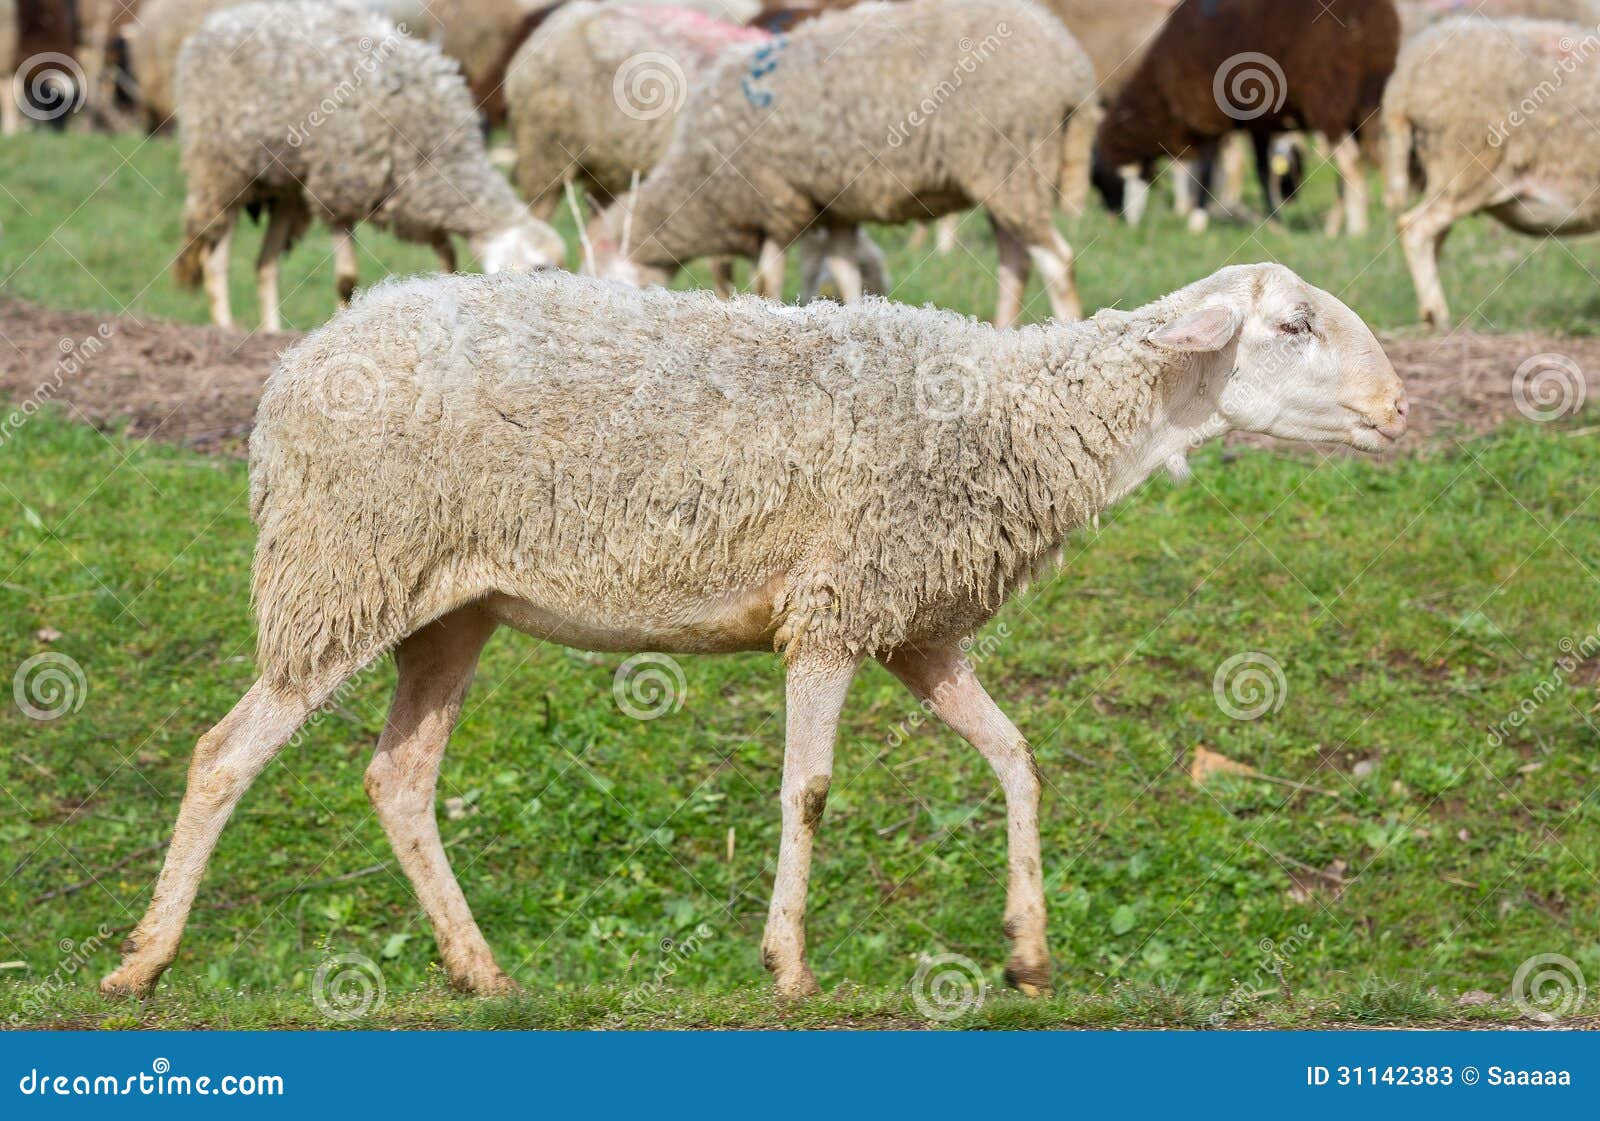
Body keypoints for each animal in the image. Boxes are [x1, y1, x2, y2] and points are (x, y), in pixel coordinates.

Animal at [98, 261, 1408, 1001]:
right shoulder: (831, 611)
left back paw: (481, 969)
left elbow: (1017, 756)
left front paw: (1029, 950)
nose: (1400, 410)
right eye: (1293, 325)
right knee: (224, 753)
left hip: (448, 604)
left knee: (400, 776)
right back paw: (144, 958)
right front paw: (787, 963)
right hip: (343, 572)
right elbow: (809, 790)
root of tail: (288, 377)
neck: (1024, 413)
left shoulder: (910, 622)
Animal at [173, 1, 564, 331]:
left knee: (265, 263)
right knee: (215, 255)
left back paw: (270, 331)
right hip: (222, 165)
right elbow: (346, 281)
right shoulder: (339, 191)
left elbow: (447, 259)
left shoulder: (417, 205)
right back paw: (224, 326)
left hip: (285, 187)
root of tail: (221, 19)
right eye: (539, 267)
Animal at [593, 0, 1101, 326]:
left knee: (1058, 262)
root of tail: (1070, 64)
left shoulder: (779, 203)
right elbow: (846, 275)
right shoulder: (834, 206)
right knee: (1016, 262)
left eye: (597, 268)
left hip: (1011, 157)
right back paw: (1002, 332)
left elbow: (768, 281)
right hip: (1005, 172)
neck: (699, 181)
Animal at [1093, 0, 1400, 237]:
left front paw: (1198, 219)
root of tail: (1374, 19)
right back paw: (1346, 222)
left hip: (1330, 98)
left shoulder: (1209, 114)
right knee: (1374, 160)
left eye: (1104, 180)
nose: (1117, 223)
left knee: (1352, 164)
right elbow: (1263, 172)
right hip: (1368, 102)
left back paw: (1356, 228)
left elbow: (1208, 169)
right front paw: (1273, 221)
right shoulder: (1259, 123)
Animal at [1384, 16, 1600, 328]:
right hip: (1464, 167)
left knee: (1432, 235)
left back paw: (1428, 312)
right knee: (1414, 227)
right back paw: (1438, 314)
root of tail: (1402, 84)